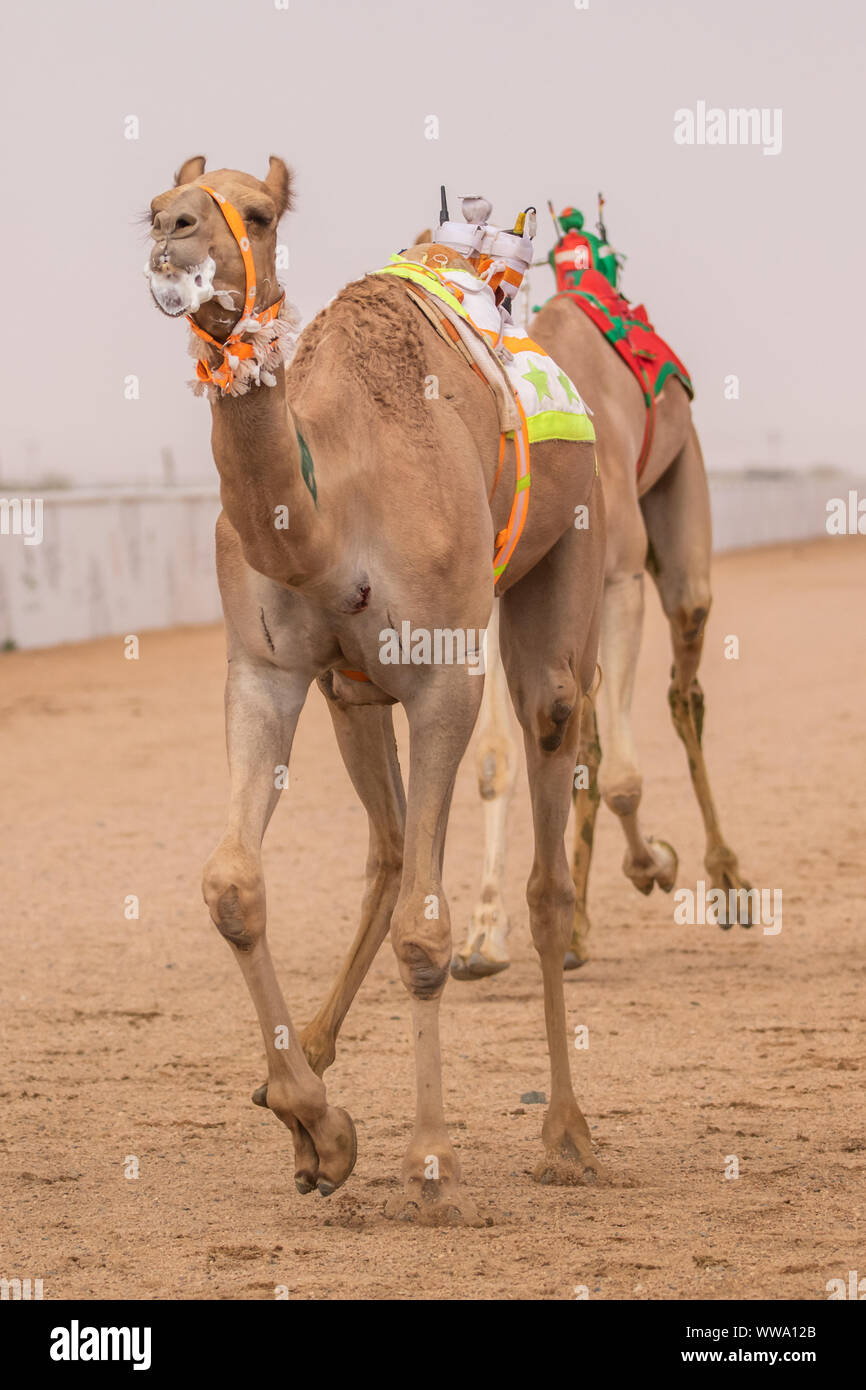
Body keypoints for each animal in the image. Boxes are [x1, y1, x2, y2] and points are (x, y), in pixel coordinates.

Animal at [144, 156, 606, 1223]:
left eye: (257, 213)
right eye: (154, 205)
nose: (173, 231)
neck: (331, 507)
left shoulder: (445, 676)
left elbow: (430, 933)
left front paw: (431, 1160)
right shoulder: (267, 668)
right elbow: (233, 884)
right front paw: (318, 1129)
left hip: (575, 545)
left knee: (547, 837)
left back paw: (567, 1136)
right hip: (351, 696)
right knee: (391, 848)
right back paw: (309, 1060)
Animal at [451, 250, 753, 979]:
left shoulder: (621, 580)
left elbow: (620, 778)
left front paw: (657, 866)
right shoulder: (496, 605)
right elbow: (500, 759)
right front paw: (483, 937)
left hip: (682, 496)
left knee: (682, 688)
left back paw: (725, 880)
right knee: (583, 736)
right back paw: (578, 929)